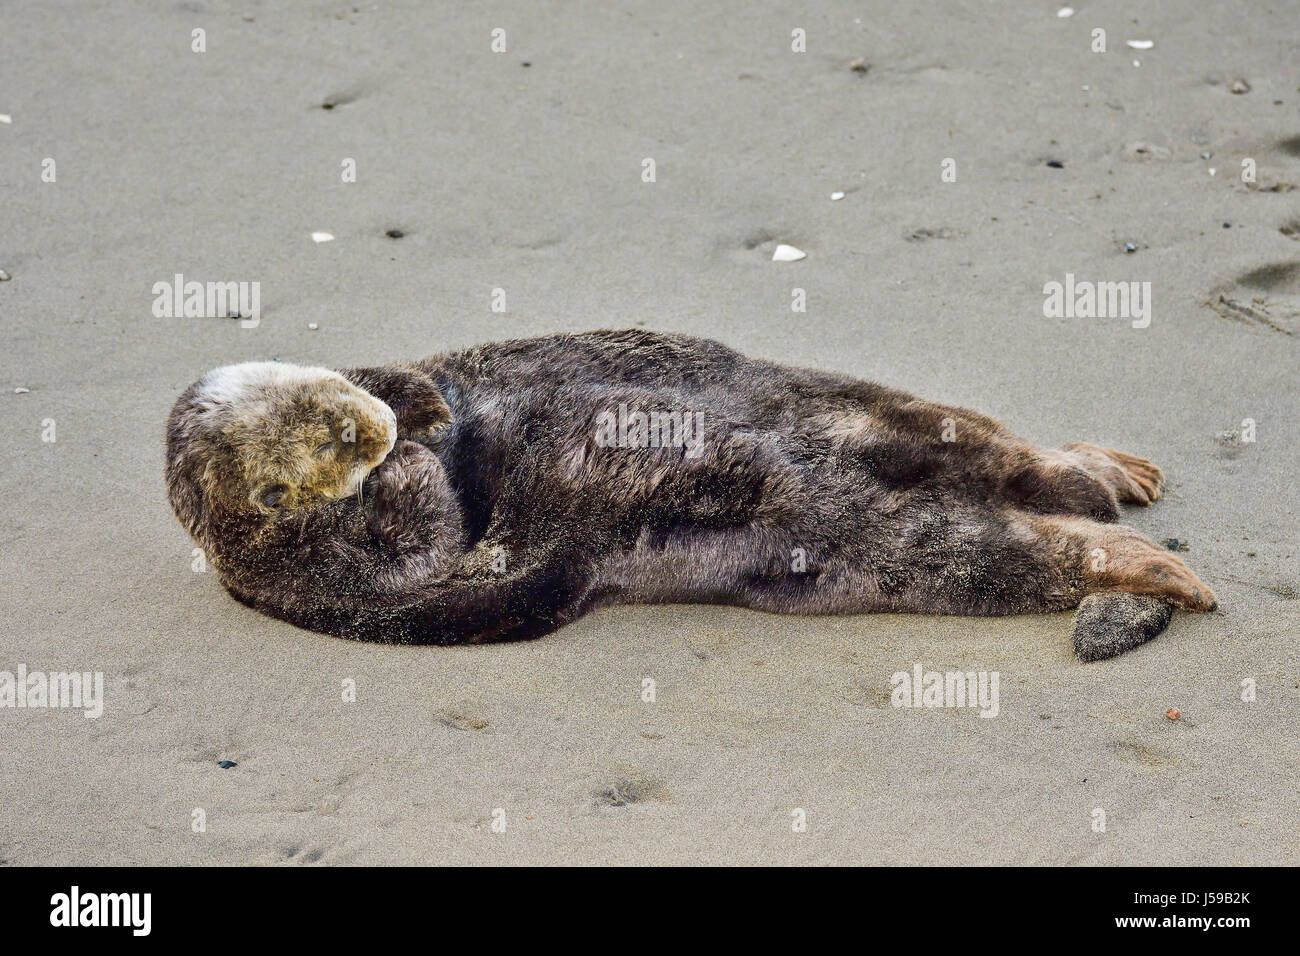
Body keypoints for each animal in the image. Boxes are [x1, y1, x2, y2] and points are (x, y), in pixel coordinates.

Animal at [165, 329, 1215, 659]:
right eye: (332, 442)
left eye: (344, 411)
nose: (378, 430)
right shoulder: (313, 572)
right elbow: (428, 541)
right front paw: (415, 464)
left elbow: (414, 379)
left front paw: (416, 406)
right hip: (862, 544)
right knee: (1003, 545)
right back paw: (1144, 555)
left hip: (828, 401)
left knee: (987, 449)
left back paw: (1113, 472)